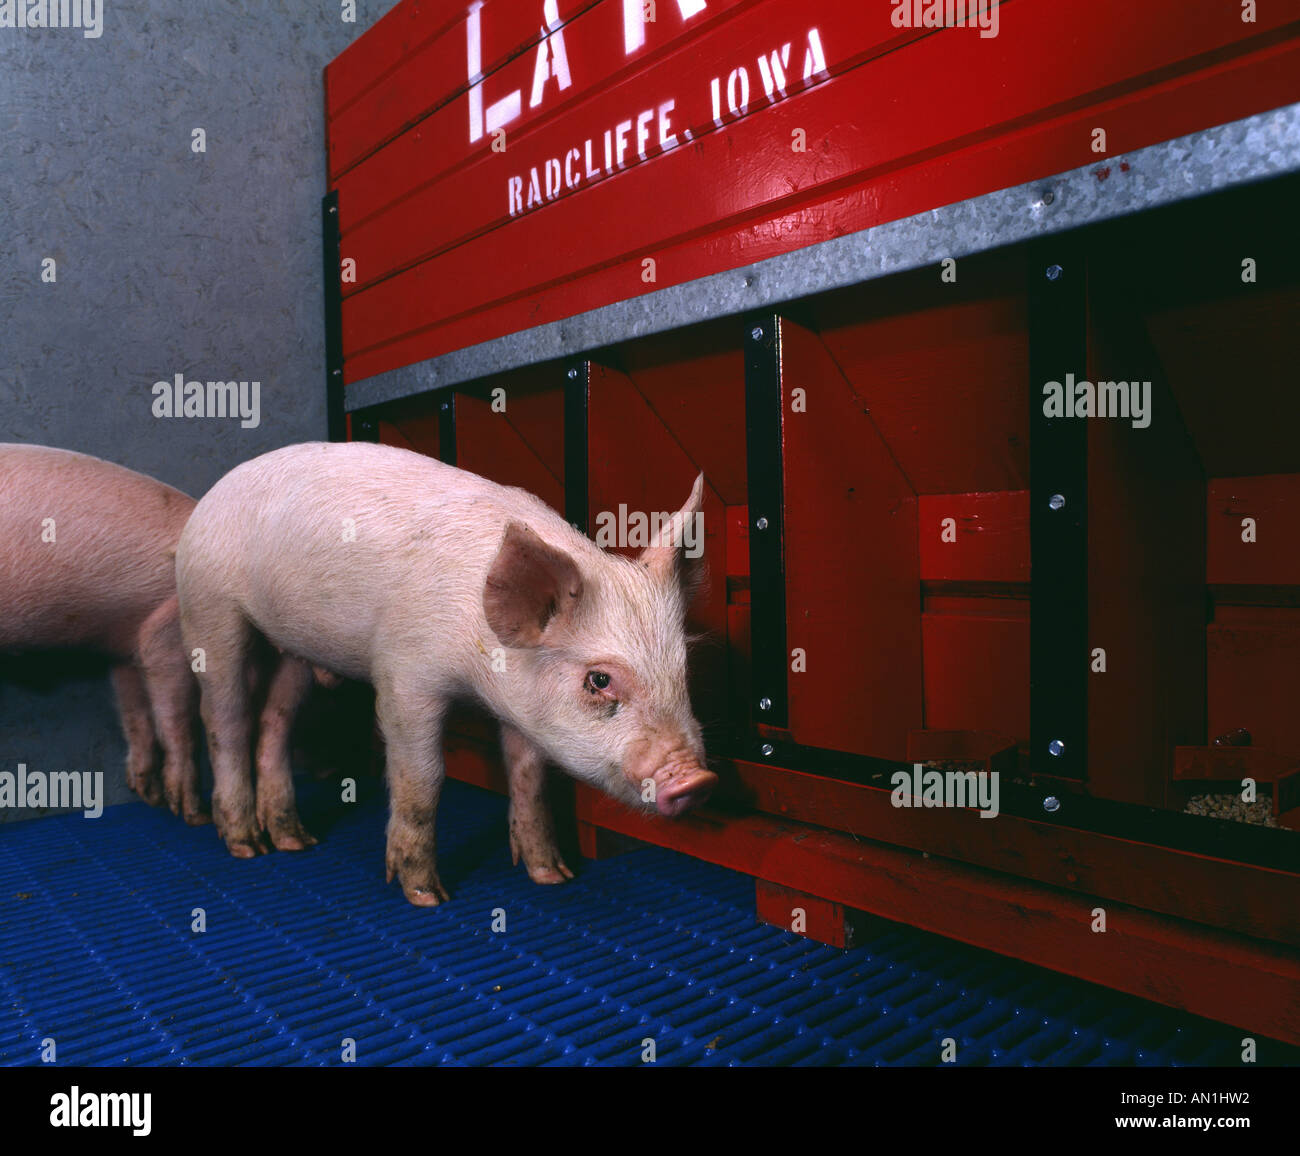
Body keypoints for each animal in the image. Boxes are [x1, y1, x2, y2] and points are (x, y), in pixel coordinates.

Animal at [0, 444, 206, 822]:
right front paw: (193, 816)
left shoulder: (124, 646)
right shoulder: (167, 629)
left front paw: (147, 793)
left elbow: (134, 714)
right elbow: (176, 718)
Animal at [175, 440, 717, 905]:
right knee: (225, 717)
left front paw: (551, 876)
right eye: (599, 680)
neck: (478, 668)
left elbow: (529, 775)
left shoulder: (522, 707)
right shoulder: (405, 671)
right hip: (208, 606)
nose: (698, 780)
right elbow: (423, 777)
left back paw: (294, 841)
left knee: (275, 721)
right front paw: (427, 897)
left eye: (685, 669)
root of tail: (207, 501)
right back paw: (246, 845)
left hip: (295, 648)